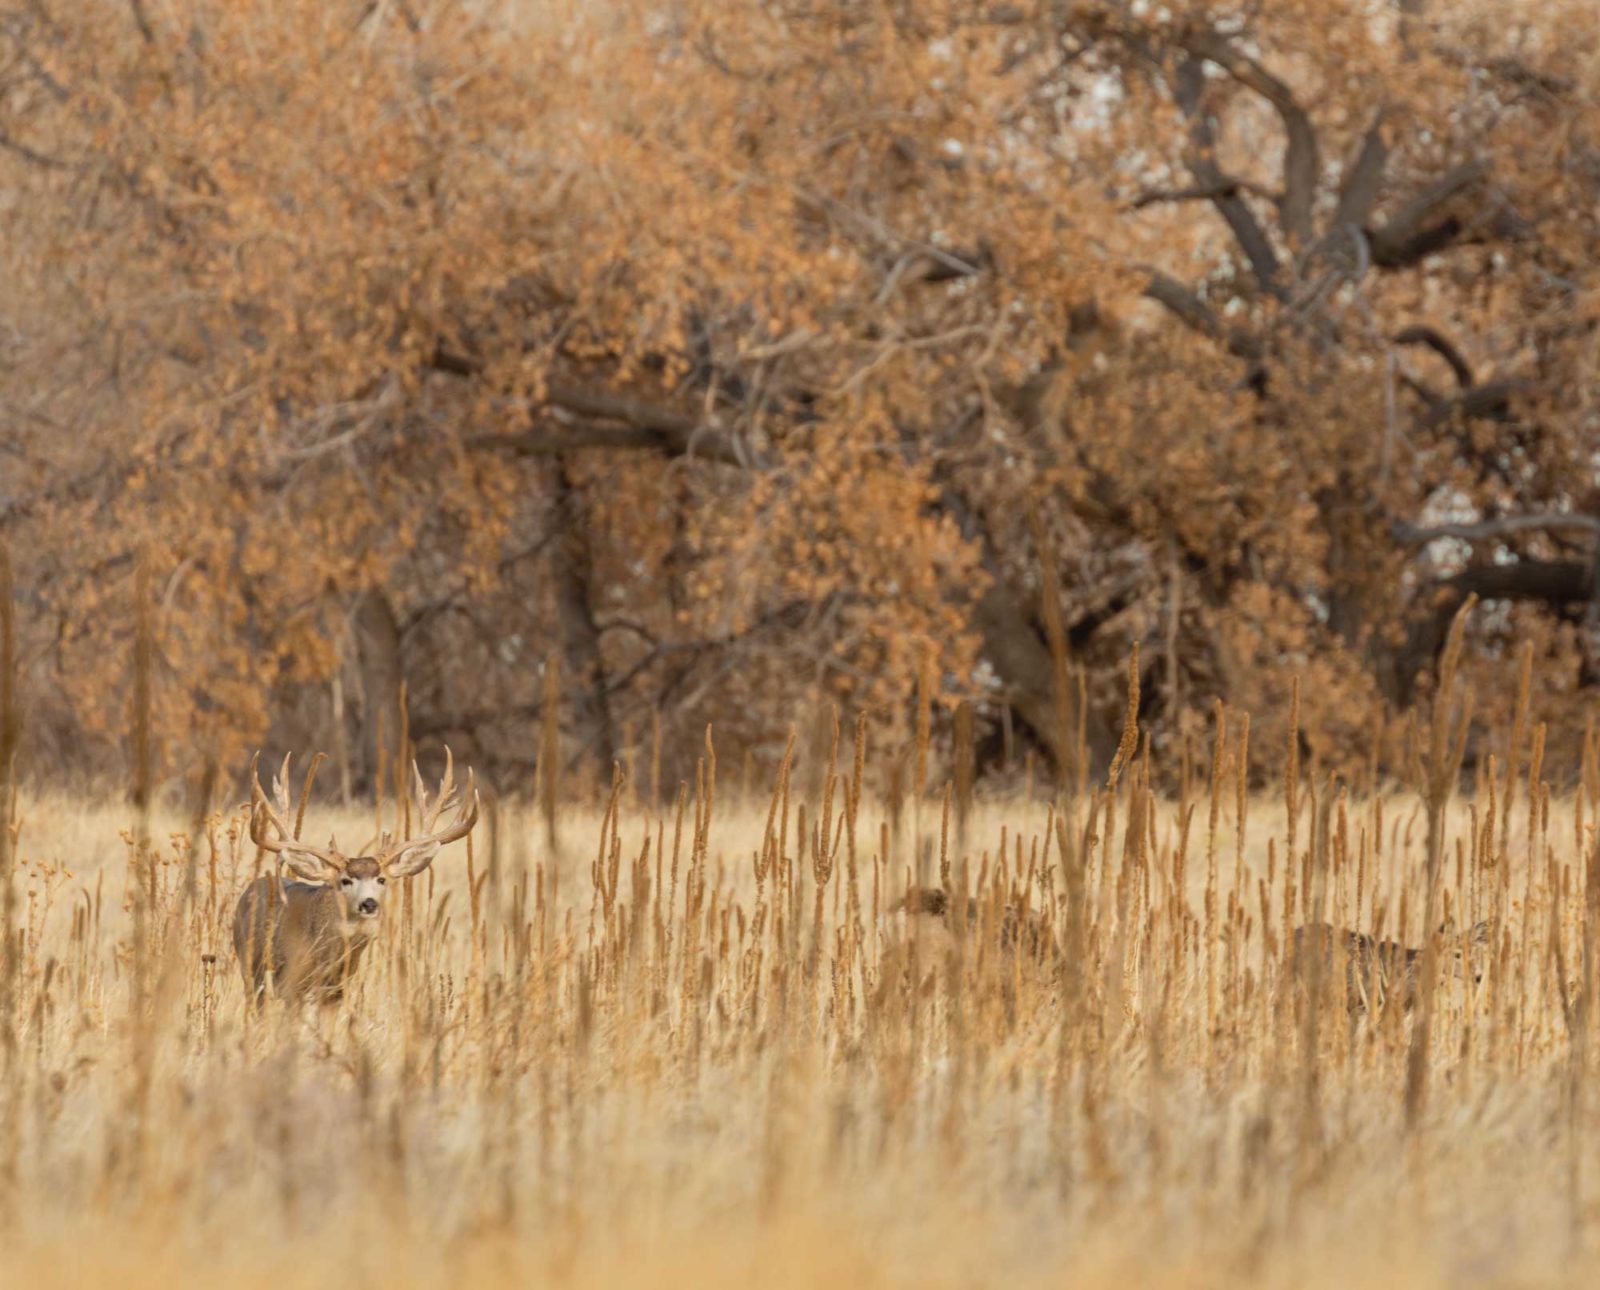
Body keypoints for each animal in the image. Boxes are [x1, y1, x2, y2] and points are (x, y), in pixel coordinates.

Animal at [232, 749, 478, 1005]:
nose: (368, 903)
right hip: (251, 971)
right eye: (345, 880)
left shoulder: (336, 993)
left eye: (382, 880)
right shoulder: (290, 985)